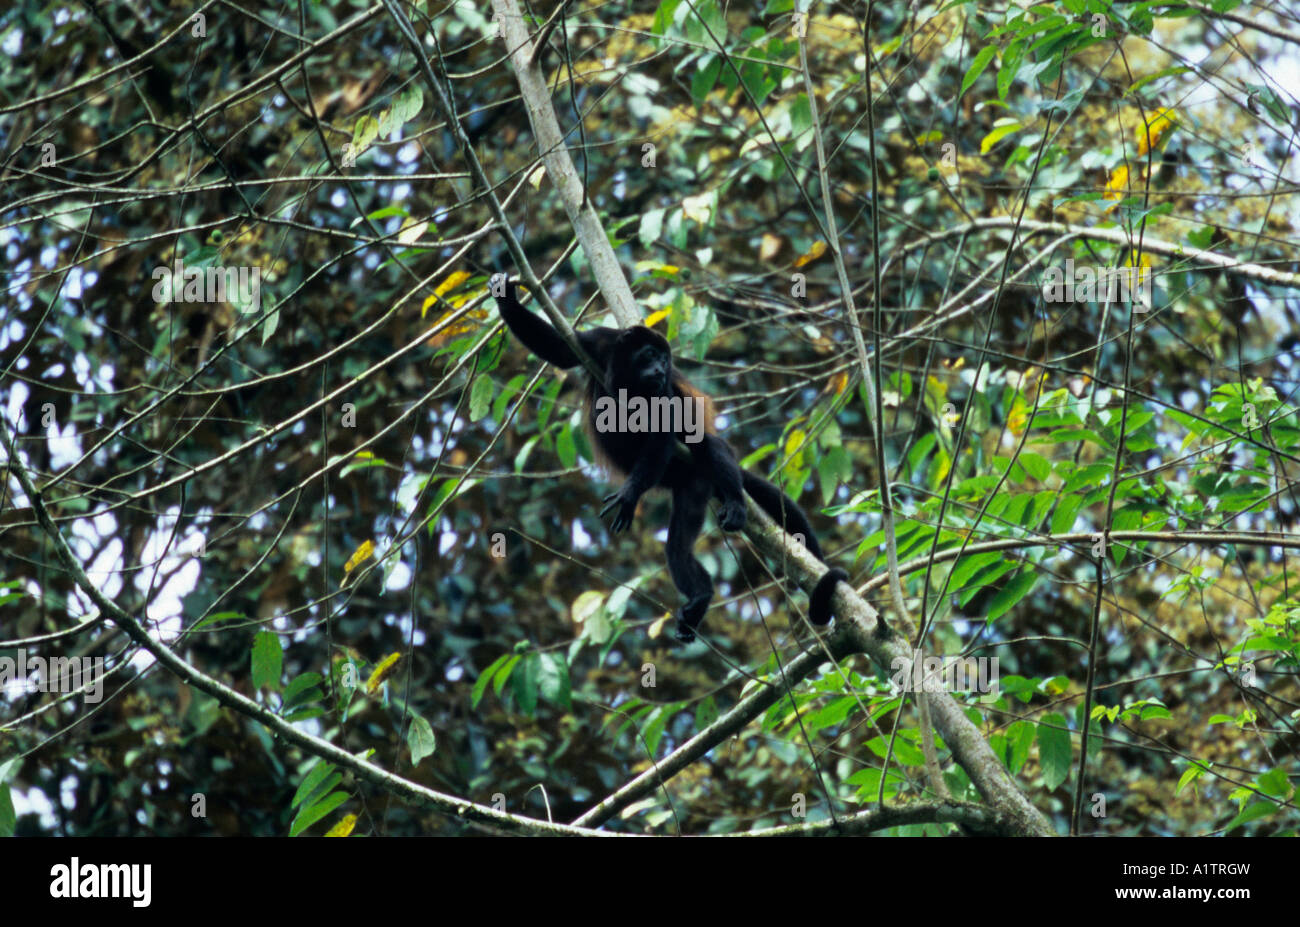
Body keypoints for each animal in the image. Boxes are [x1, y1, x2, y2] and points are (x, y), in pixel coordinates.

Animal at [493, 277, 848, 642]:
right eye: (650, 355)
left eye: (665, 359)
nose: (661, 367)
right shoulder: (599, 343)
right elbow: (560, 350)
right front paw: (506, 298)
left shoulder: (661, 390)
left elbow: (662, 433)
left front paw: (630, 495)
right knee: (677, 550)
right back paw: (702, 594)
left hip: (697, 480)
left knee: (708, 448)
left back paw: (734, 507)